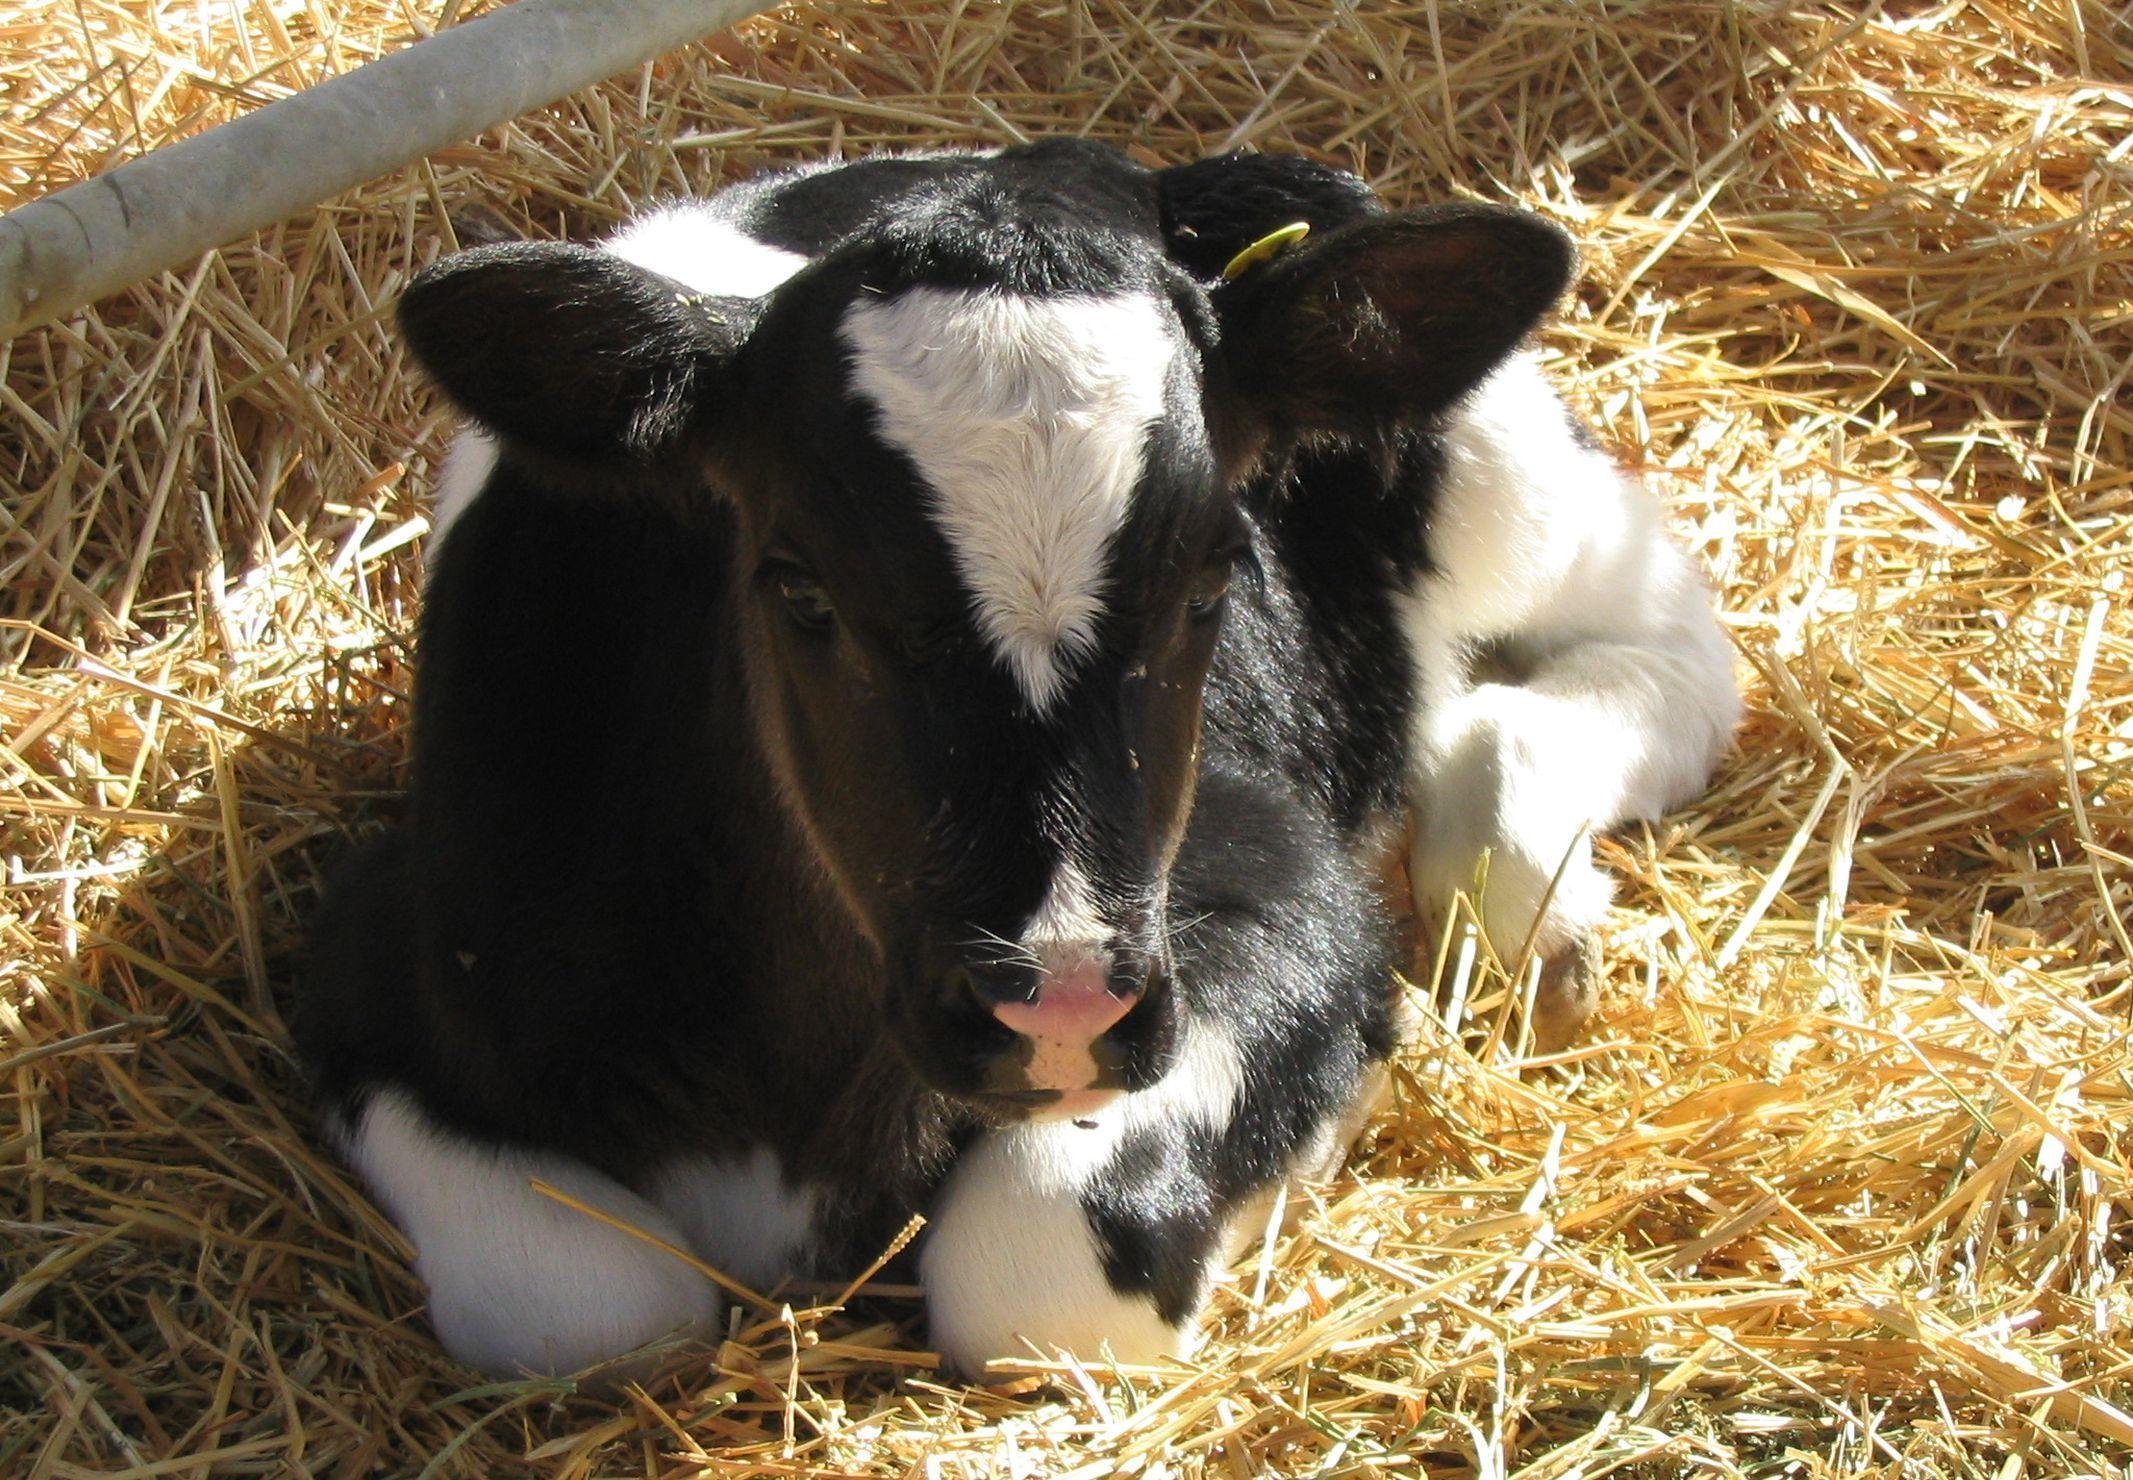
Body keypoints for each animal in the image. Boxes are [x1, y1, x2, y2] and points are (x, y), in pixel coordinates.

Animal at [297, 140, 1738, 1379]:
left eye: (1213, 575)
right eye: (798, 589)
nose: (1059, 1007)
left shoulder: (1283, 895)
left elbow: (1029, 1267)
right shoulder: (379, 949)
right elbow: (592, 1310)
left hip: (1494, 480)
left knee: (1664, 640)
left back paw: (1534, 907)